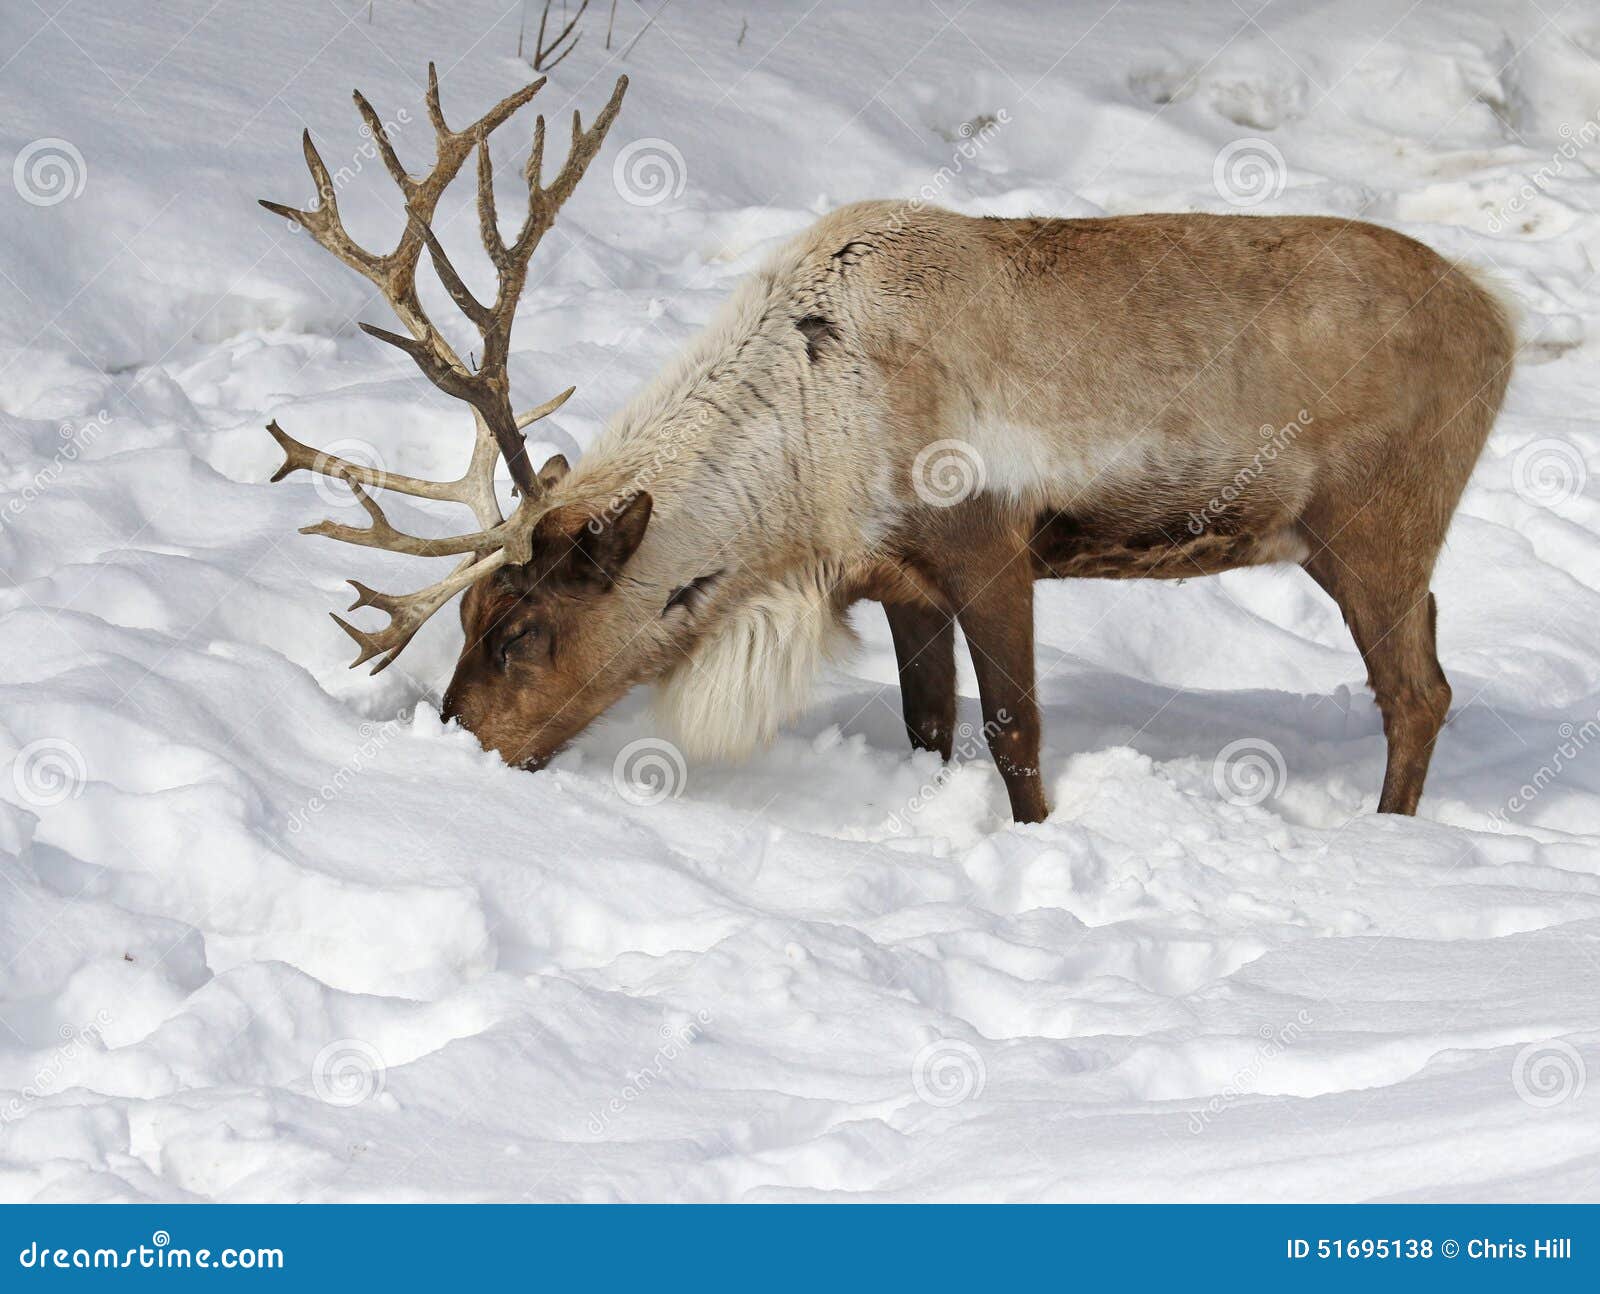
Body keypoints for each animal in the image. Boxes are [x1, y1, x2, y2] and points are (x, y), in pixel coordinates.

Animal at [261, 69, 1515, 825]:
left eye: (521, 628)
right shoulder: (897, 576)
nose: (460, 742)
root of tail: (1502, 324)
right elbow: (928, 725)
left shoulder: (987, 543)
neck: (803, 476)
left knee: (1418, 691)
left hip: (1373, 524)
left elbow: (1015, 731)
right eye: (468, 610)